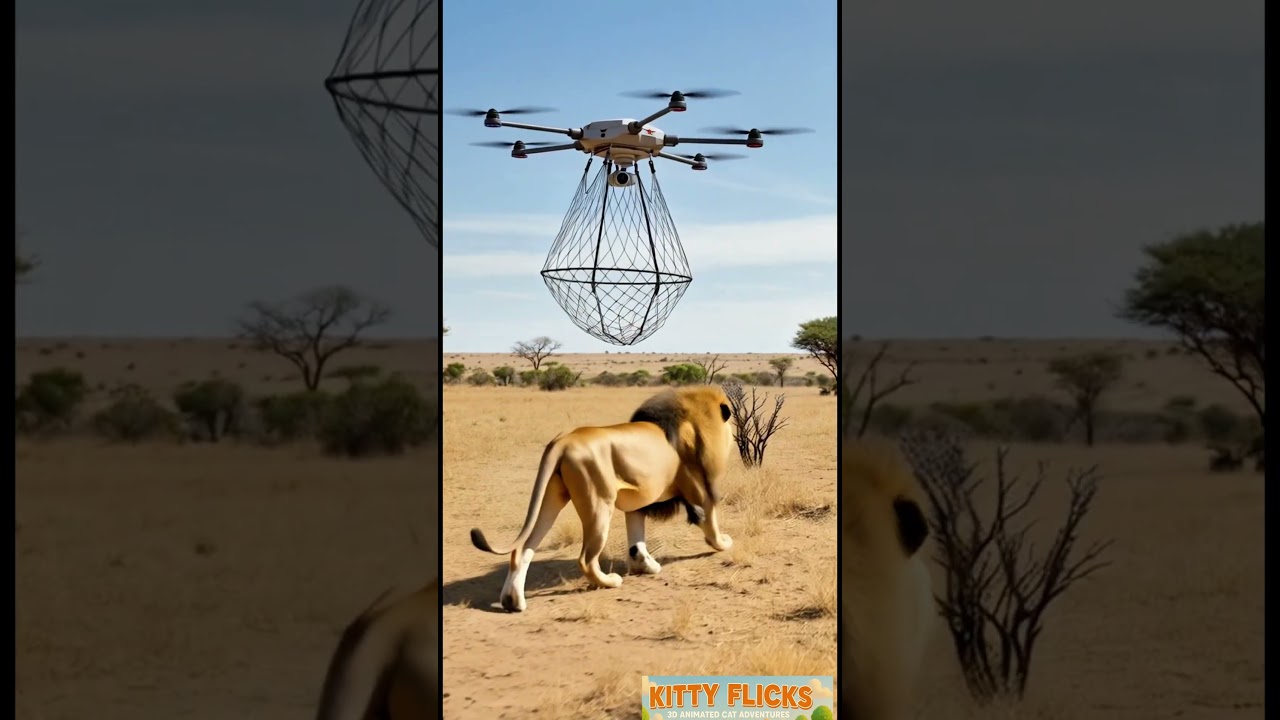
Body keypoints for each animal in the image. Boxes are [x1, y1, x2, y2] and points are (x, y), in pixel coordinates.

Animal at [469, 386, 736, 612]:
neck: (693, 421)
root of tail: (562, 441)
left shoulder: (637, 500)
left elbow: (636, 540)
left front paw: (646, 566)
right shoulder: (700, 491)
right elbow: (711, 523)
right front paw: (723, 542)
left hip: (552, 497)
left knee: (522, 549)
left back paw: (513, 602)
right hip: (599, 503)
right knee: (585, 559)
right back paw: (609, 582)